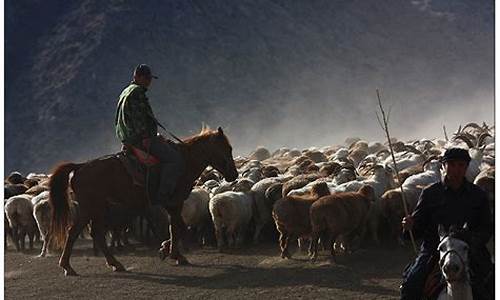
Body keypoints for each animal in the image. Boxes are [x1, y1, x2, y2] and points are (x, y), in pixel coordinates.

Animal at [49, 125, 238, 276]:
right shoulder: (174, 202)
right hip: (92, 208)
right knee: (78, 232)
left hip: (95, 209)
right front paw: (173, 253)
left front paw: (167, 250)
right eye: (227, 148)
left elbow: (175, 226)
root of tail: (80, 167)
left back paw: (110, 264)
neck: (185, 160)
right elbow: (178, 227)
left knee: (91, 233)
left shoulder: (171, 205)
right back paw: (70, 266)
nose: (234, 175)